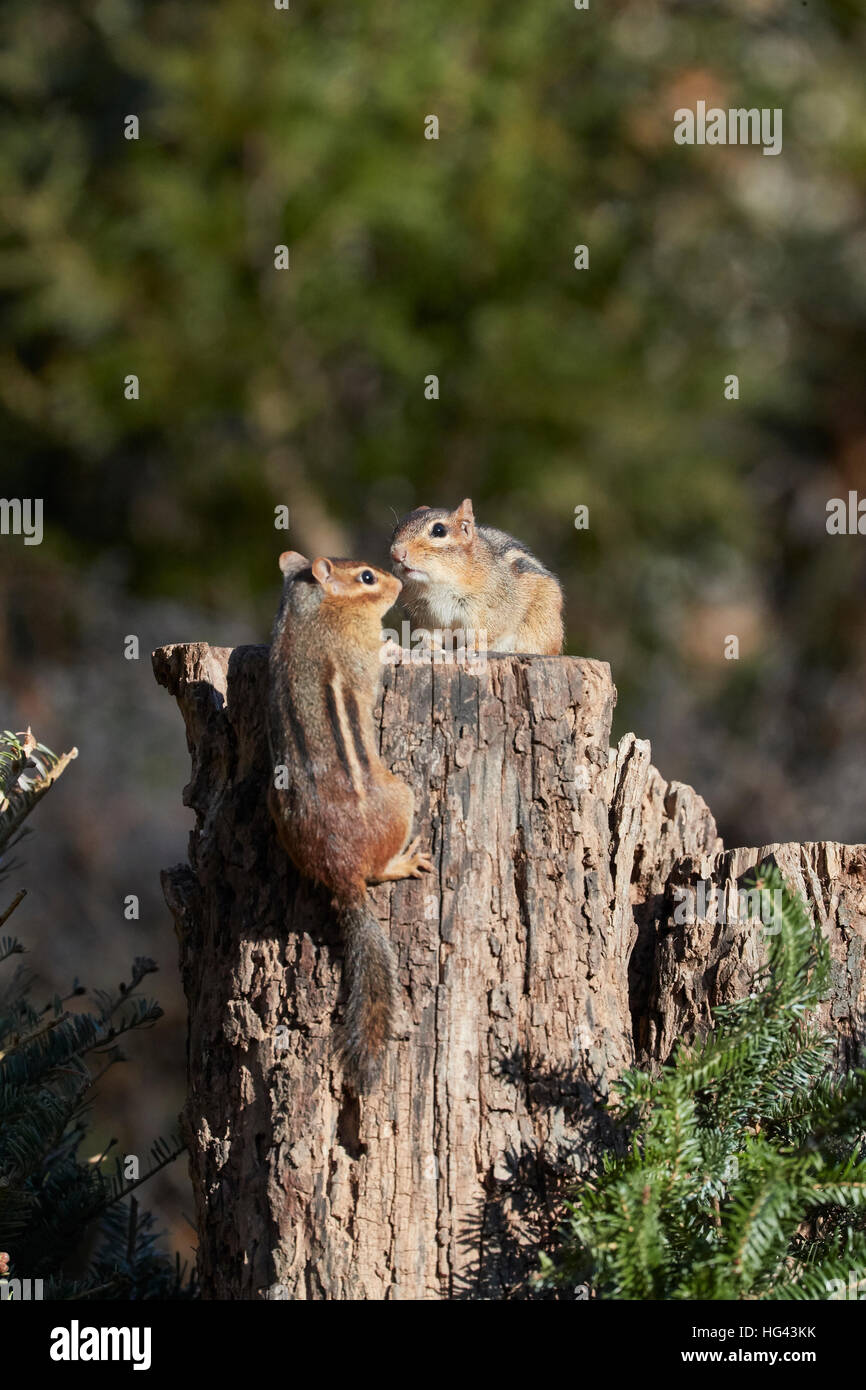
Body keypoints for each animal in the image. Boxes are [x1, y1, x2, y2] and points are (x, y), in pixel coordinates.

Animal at [266, 551, 432, 1090]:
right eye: (366, 577)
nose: (397, 582)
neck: (312, 611)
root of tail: (344, 877)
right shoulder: (360, 650)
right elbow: (378, 658)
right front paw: (397, 646)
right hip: (403, 796)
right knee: (380, 871)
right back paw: (403, 862)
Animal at [389, 498, 564, 655]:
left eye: (439, 530)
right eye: (396, 529)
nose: (397, 554)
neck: (436, 586)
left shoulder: (485, 610)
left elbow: (483, 635)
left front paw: (470, 649)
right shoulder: (423, 618)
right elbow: (428, 638)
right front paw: (426, 649)